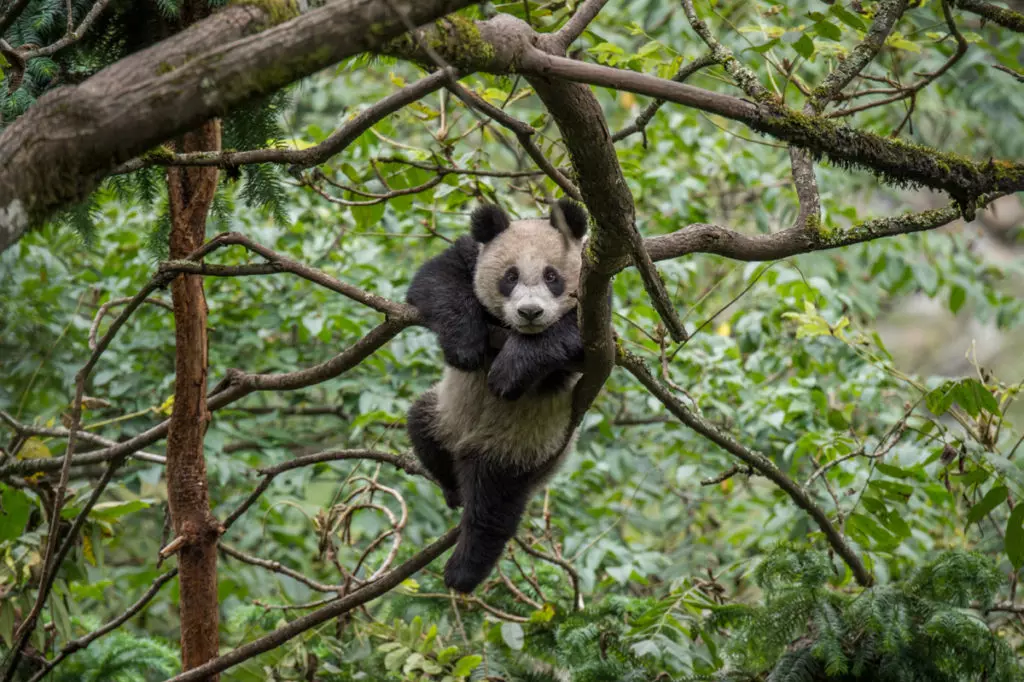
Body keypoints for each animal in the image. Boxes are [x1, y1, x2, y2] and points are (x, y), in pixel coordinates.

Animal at [405, 196, 589, 589]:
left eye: (552, 277)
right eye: (510, 277)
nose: (530, 312)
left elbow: (571, 336)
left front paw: (509, 370)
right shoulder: (470, 257)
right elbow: (436, 278)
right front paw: (465, 346)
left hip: (517, 445)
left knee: (492, 506)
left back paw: (463, 570)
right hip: (445, 411)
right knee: (421, 426)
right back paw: (452, 489)